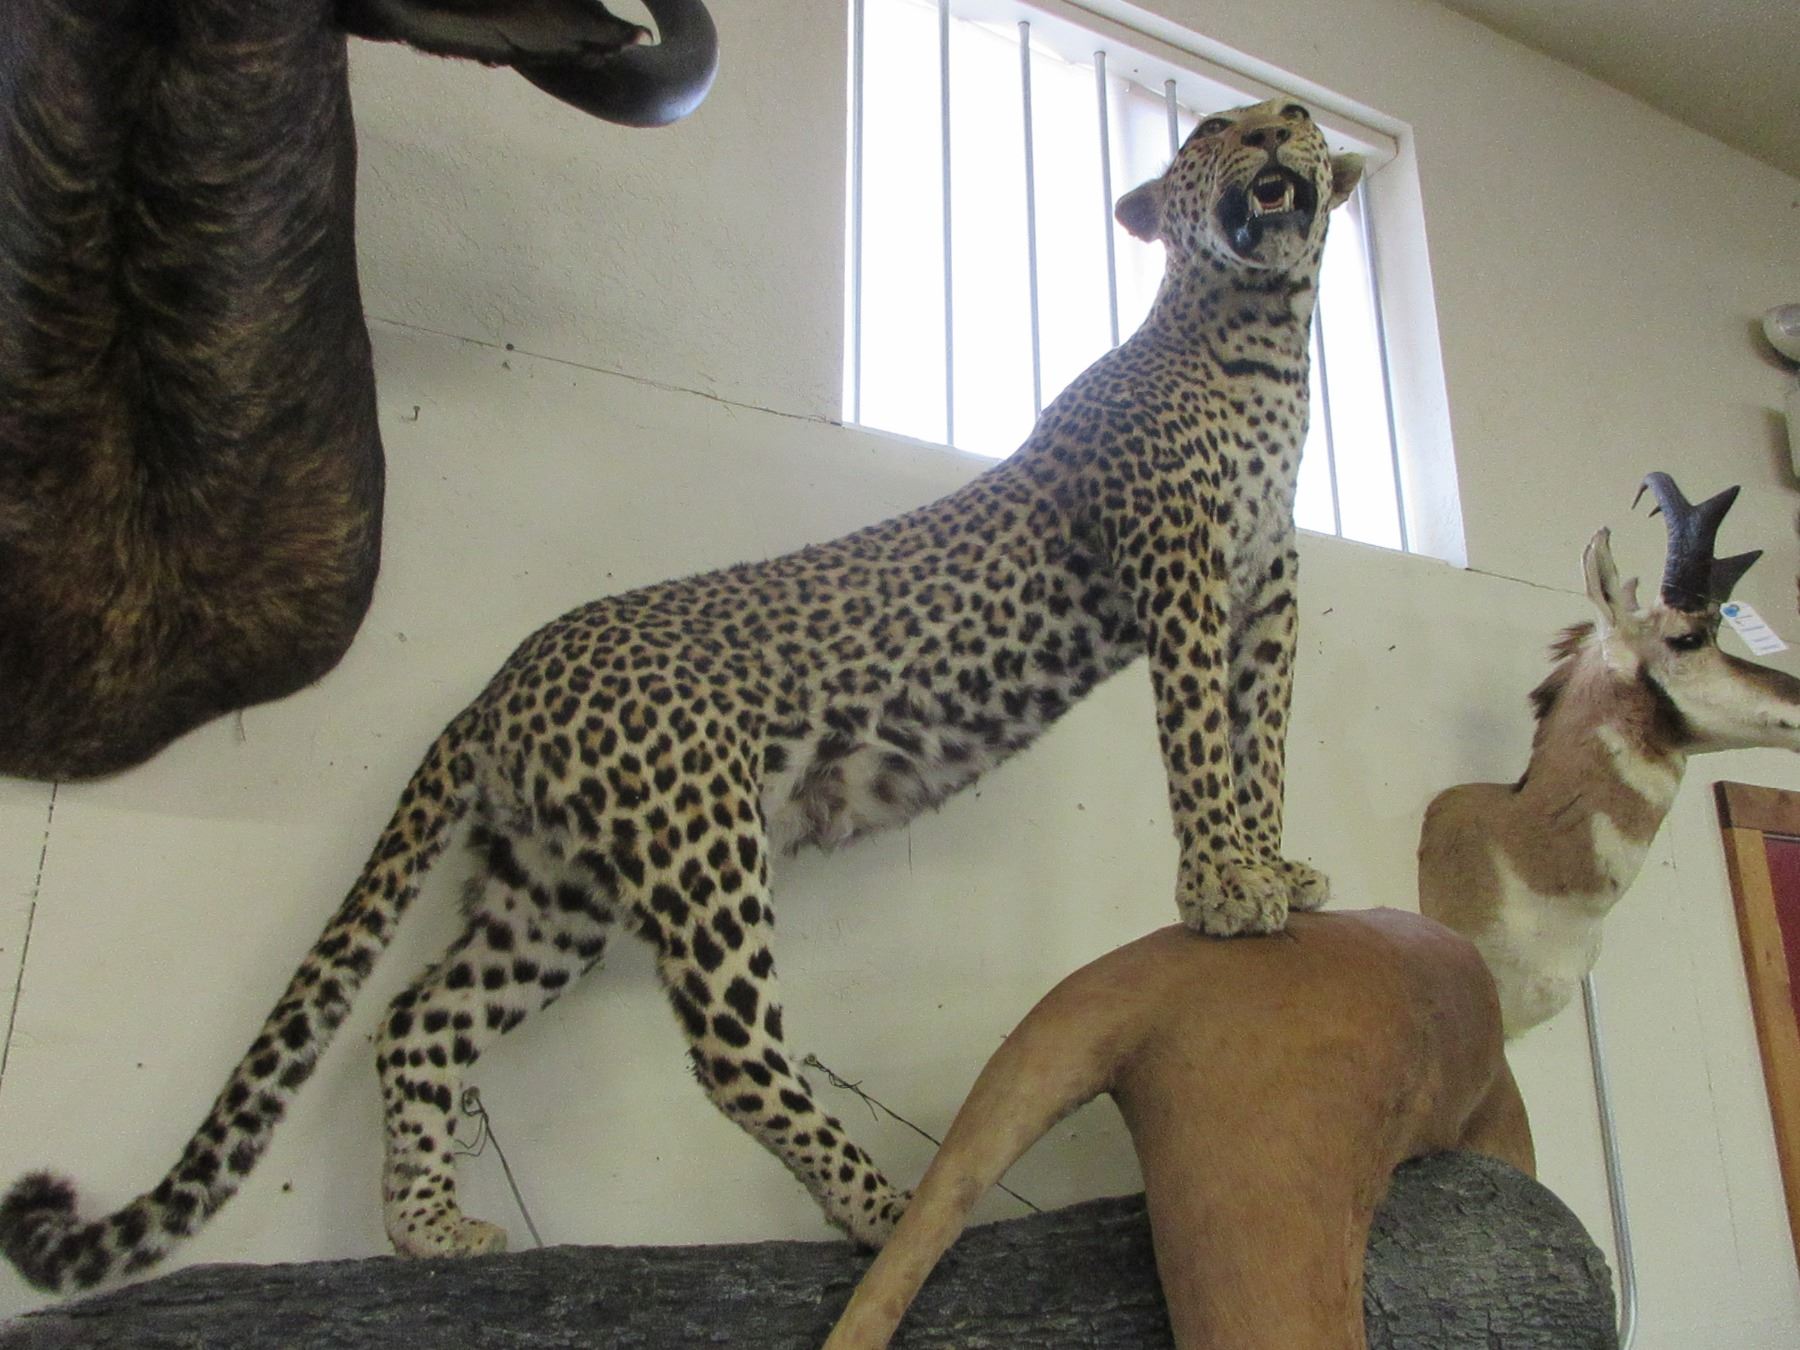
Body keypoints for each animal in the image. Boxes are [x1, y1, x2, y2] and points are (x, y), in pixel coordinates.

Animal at [0, 98, 1362, 1292]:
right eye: (1209, 132)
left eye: (1290, 117)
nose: (1272, 139)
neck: (1260, 343)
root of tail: (501, 681)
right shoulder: (1177, 570)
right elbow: (1199, 746)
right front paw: (1224, 886)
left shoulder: (1267, 597)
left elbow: (1263, 744)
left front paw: (1275, 868)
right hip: (699, 841)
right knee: (727, 1050)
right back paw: (884, 1207)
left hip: (554, 890)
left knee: (418, 1018)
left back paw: (431, 1229)